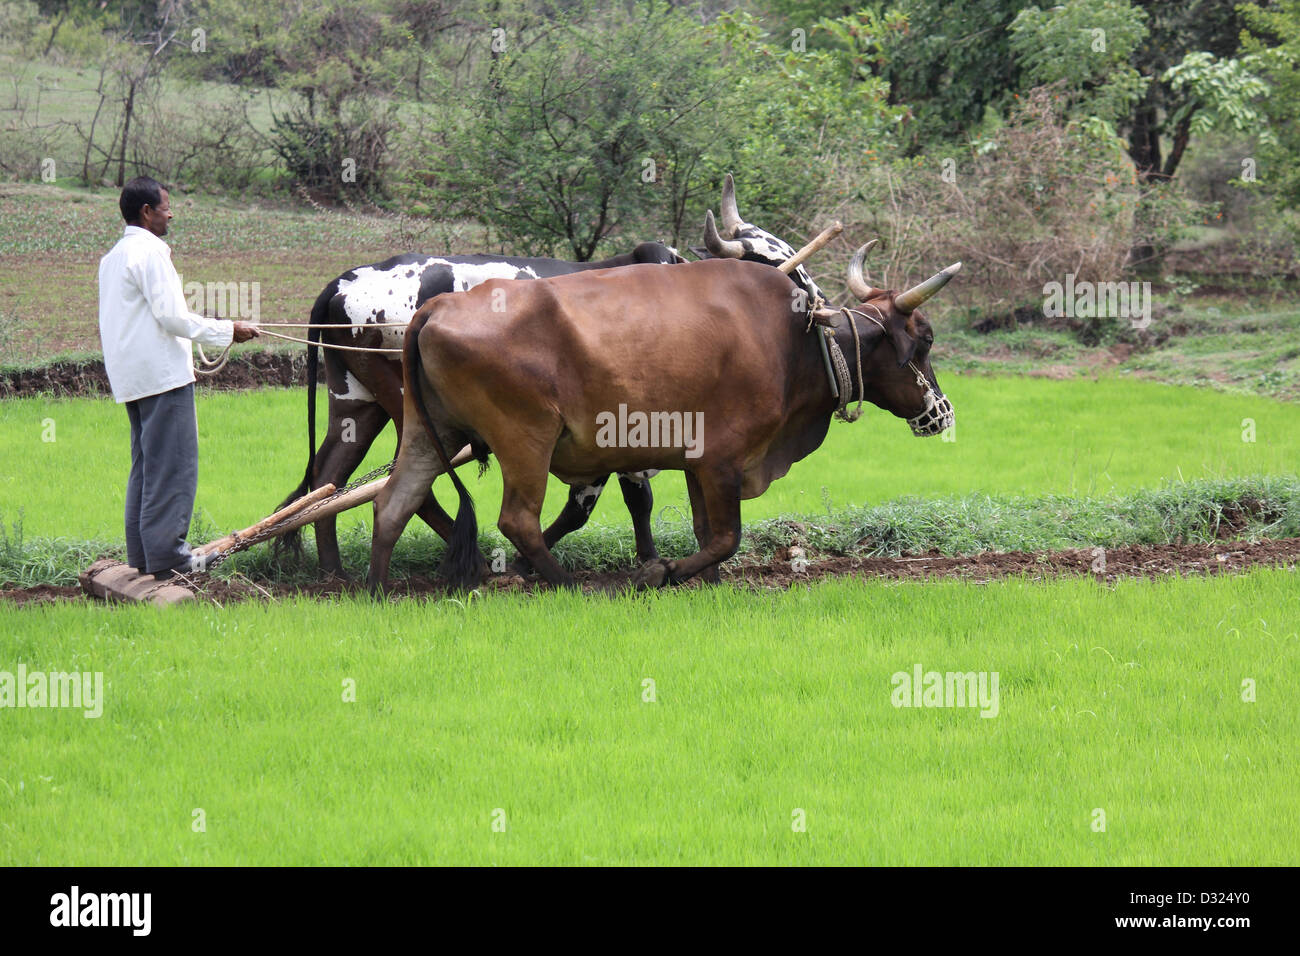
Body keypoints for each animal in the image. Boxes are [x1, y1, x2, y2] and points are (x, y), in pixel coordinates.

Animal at [365, 240, 959, 594]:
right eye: (926, 339)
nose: (943, 414)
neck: (799, 340)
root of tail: (435, 307)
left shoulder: (700, 465)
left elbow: (706, 531)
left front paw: (708, 581)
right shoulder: (722, 460)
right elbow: (724, 537)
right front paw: (660, 570)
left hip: (429, 434)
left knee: (394, 503)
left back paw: (376, 589)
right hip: (525, 439)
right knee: (518, 520)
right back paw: (568, 583)